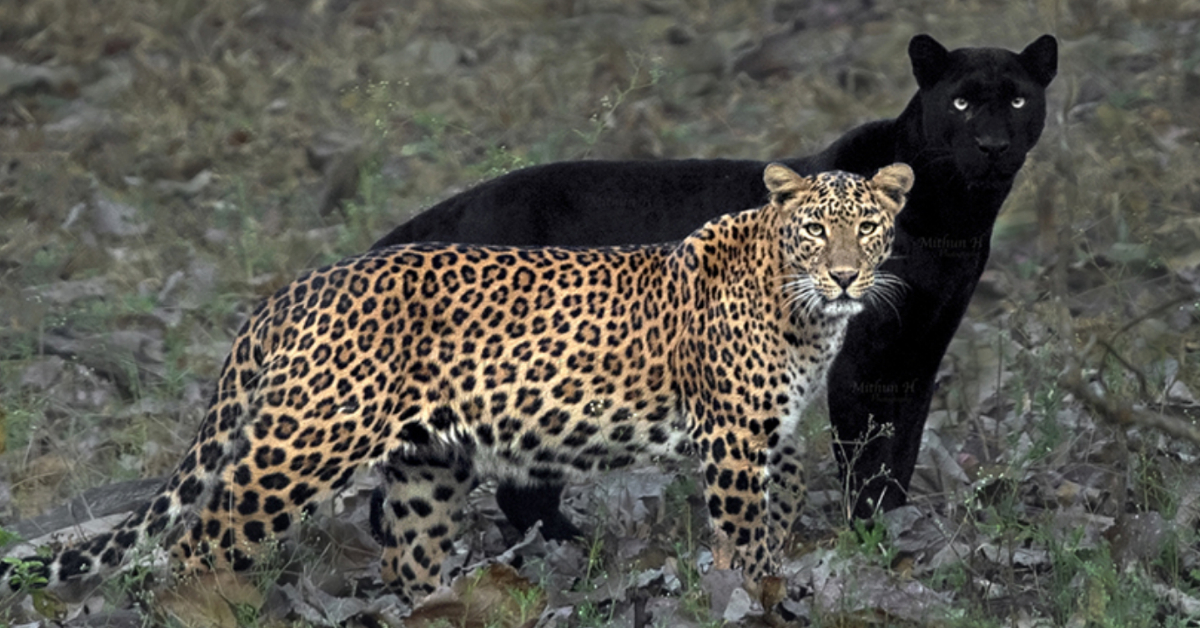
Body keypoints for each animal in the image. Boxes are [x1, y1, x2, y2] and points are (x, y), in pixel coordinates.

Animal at [2, 163, 912, 605]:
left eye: (868, 228)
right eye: (814, 229)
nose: (843, 276)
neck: (803, 311)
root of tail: (291, 292)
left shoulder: (775, 438)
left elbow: (774, 526)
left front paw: (774, 583)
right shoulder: (733, 439)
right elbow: (746, 538)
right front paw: (754, 593)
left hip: (425, 468)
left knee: (410, 562)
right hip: (300, 446)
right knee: (194, 542)